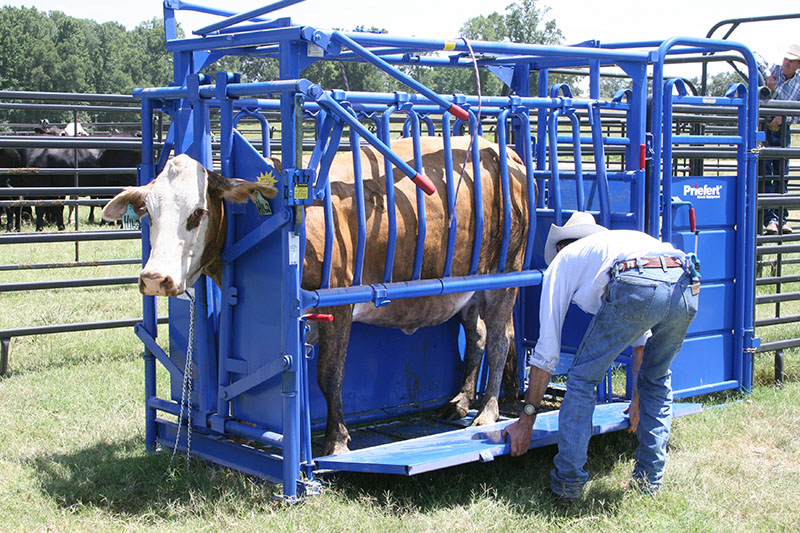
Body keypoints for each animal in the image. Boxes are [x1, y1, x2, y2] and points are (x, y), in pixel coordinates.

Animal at [102, 135, 532, 456]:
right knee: (478, 337)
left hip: (506, 277)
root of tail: (506, 153)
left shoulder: (337, 308)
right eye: (148, 213)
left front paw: (335, 439)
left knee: (499, 340)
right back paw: (461, 400)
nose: (155, 278)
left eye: (197, 212)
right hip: (470, 290)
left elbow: (329, 375)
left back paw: (487, 411)